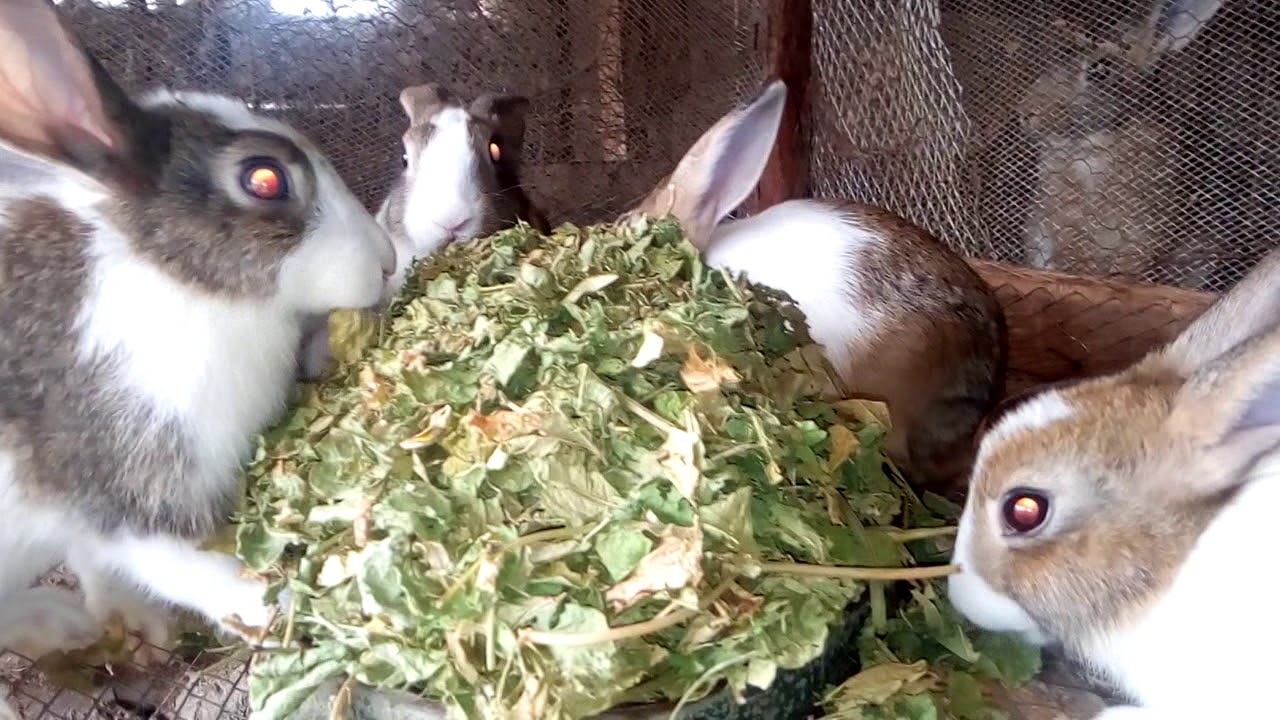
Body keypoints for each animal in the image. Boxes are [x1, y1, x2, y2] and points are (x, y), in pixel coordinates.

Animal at [0, 0, 395, 663]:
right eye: (265, 179)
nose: (387, 261)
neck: (180, 278)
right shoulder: (126, 491)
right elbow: (196, 570)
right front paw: (282, 612)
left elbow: (98, 563)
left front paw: (136, 621)